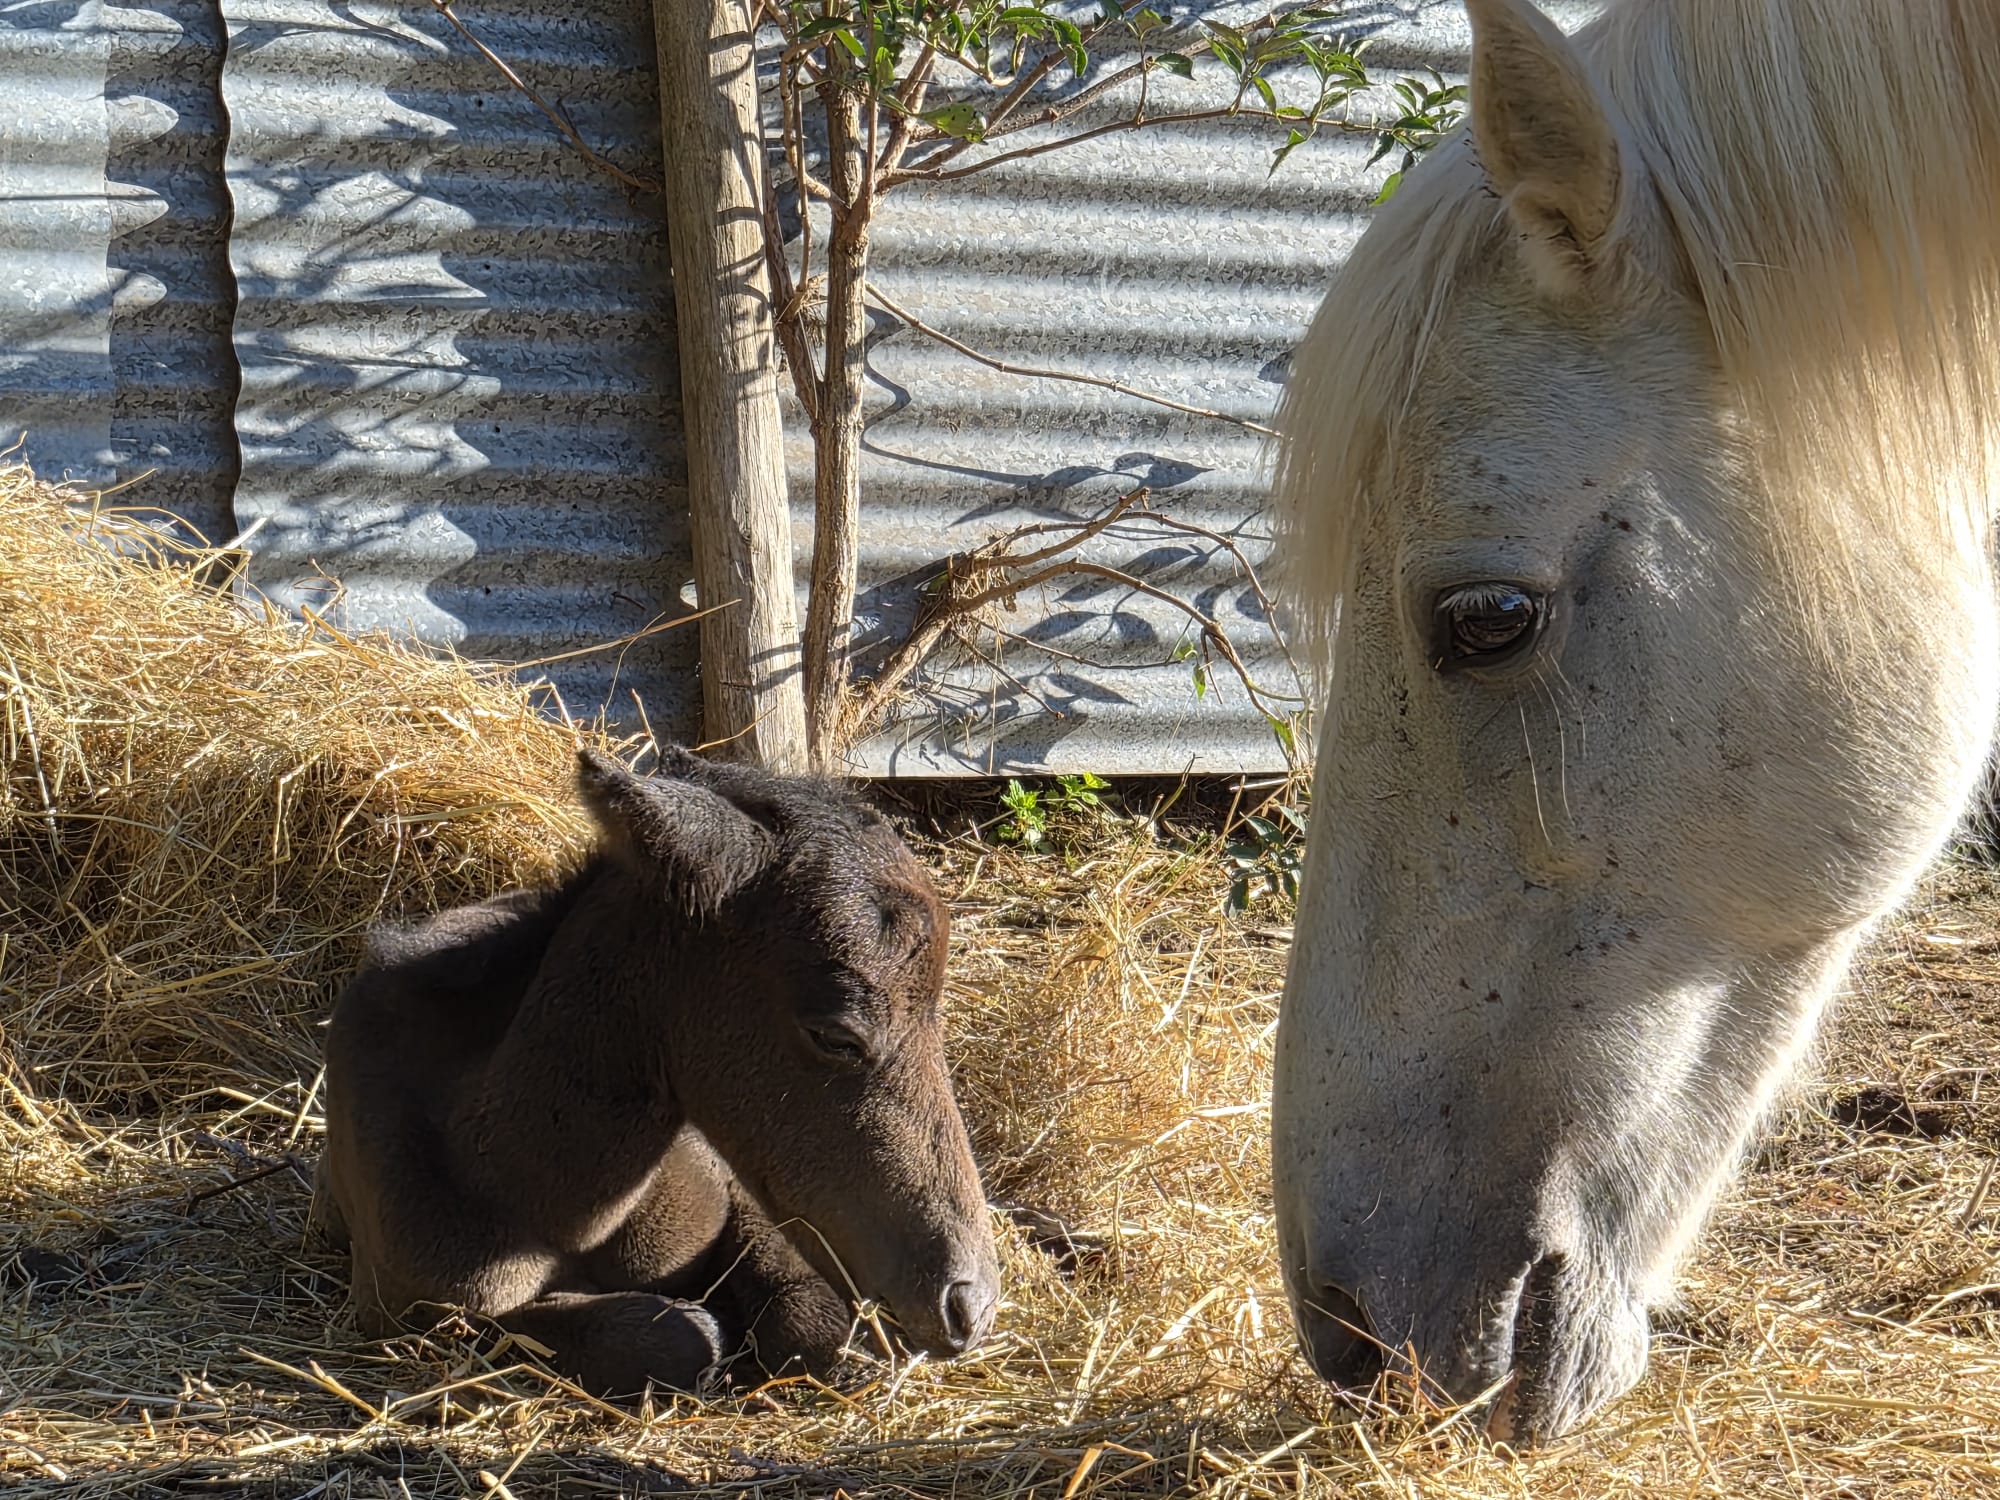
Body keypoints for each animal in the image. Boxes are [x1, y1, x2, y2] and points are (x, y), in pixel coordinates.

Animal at [312, 746, 1001, 1398]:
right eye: (834, 1035)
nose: (966, 1303)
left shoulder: (739, 1189)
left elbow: (814, 1323)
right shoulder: (417, 1312)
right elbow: (679, 1334)